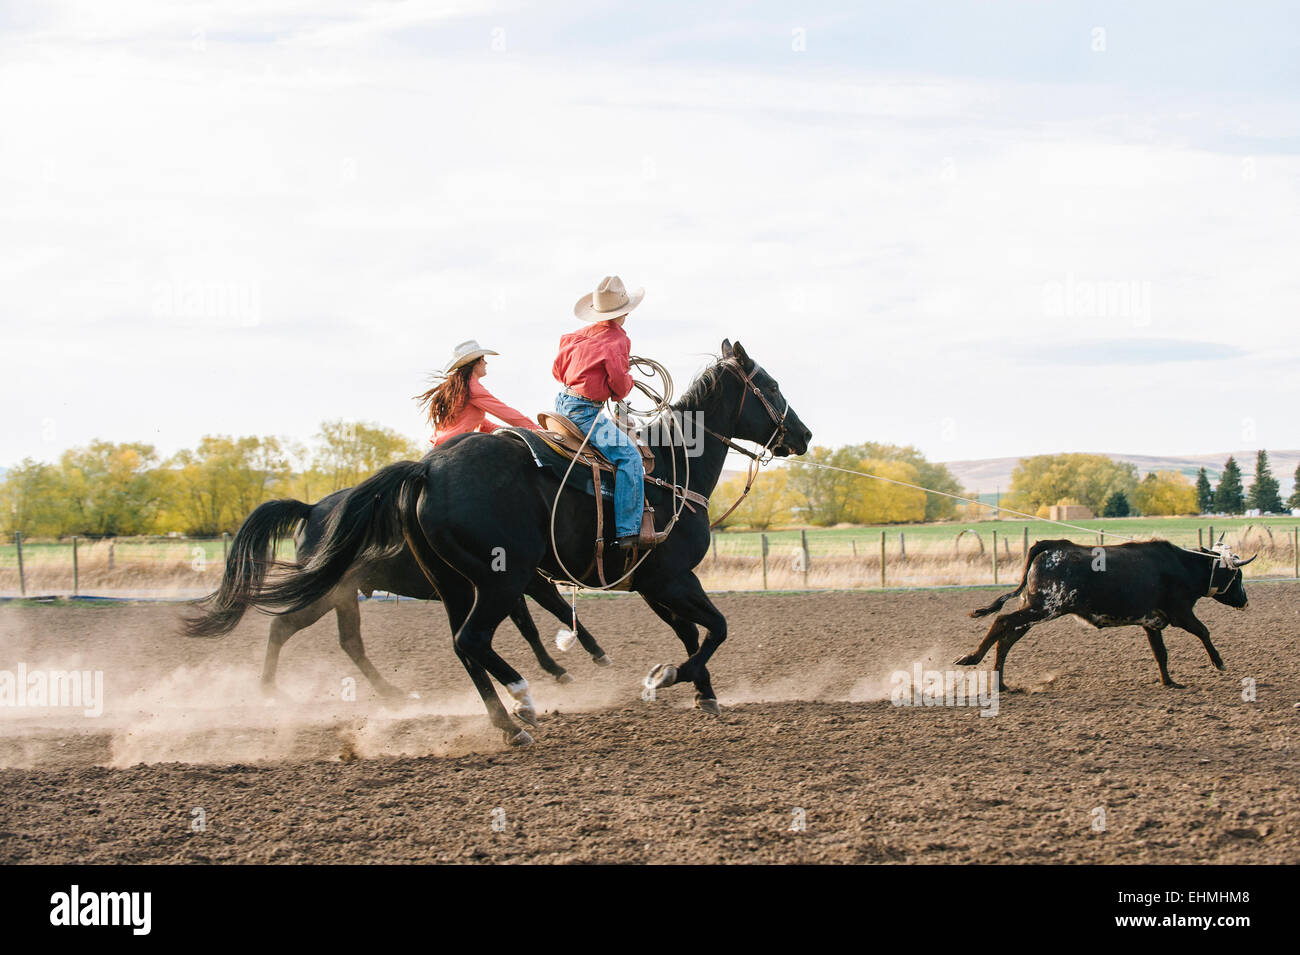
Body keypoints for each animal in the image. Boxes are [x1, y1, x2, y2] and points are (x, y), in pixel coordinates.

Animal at [954, 538, 1254, 692]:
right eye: (1237, 575)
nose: (1245, 601)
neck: (1183, 565)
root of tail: (1050, 546)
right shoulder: (1180, 613)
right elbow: (1203, 631)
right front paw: (1219, 662)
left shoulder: (1152, 622)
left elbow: (1161, 653)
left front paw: (1169, 682)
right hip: (1044, 608)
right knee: (1001, 622)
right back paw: (972, 658)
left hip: (1035, 610)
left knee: (1006, 639)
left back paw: (1000, 683)